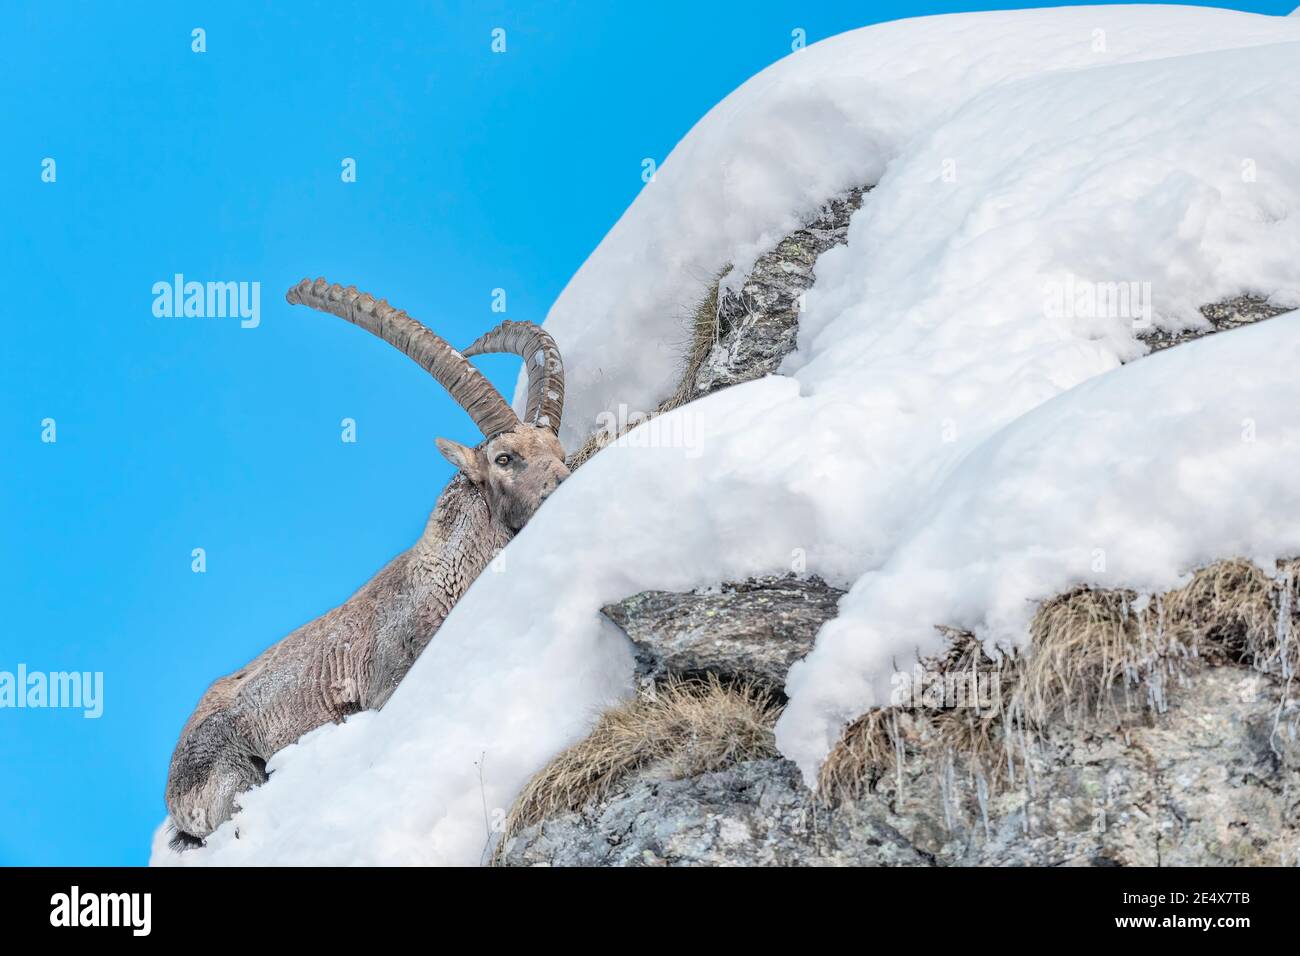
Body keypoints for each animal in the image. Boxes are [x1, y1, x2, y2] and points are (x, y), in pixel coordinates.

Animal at [164, 277, 569, 848]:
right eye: (504, 458)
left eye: (558, 449)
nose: (566, 480)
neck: (445, 575)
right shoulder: (387, 682)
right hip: (233, 776)